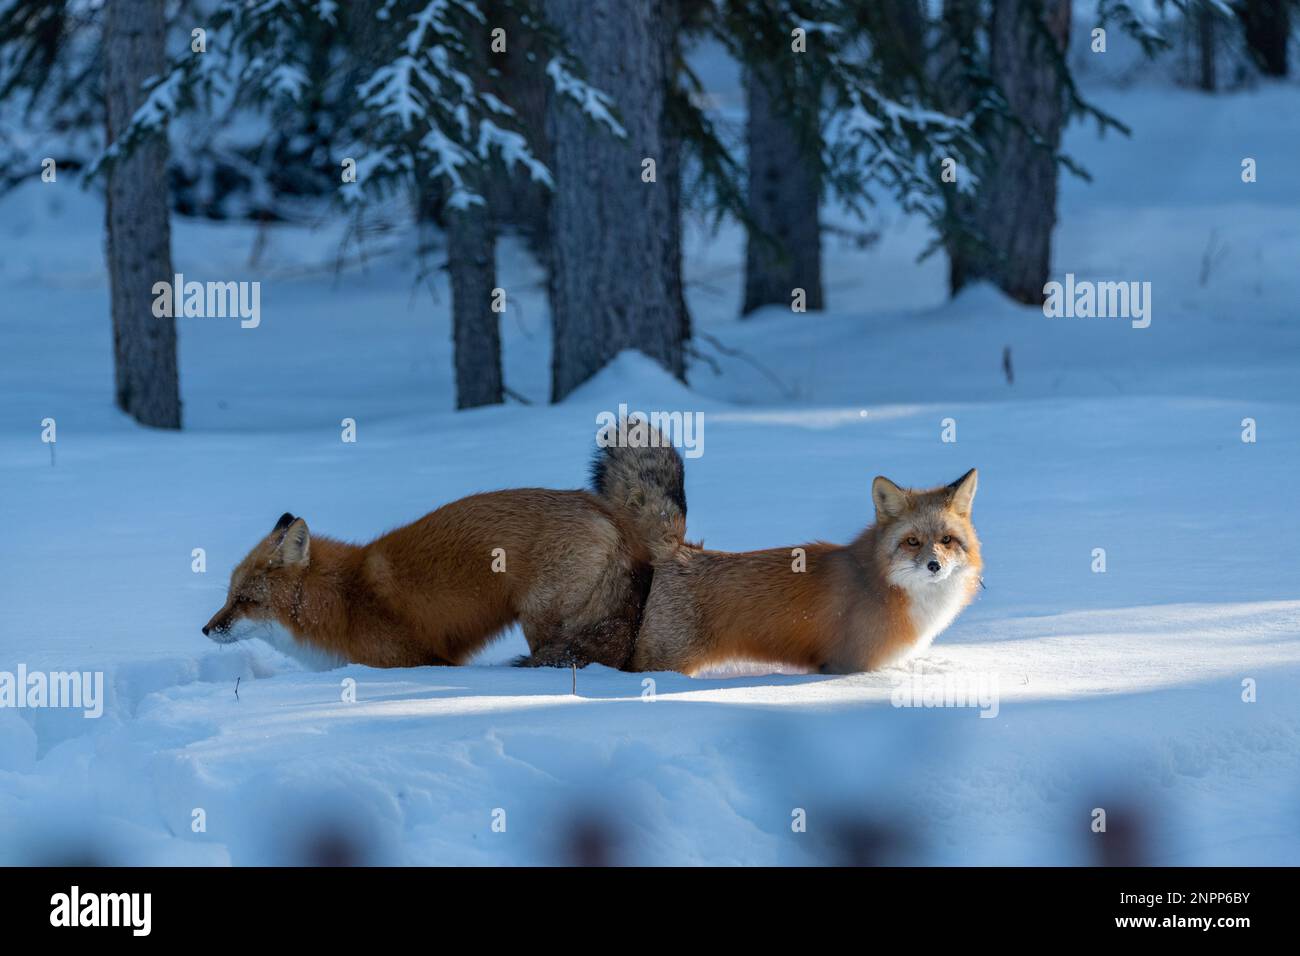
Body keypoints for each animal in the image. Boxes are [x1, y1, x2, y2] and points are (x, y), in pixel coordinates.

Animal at [201, 441, 686, 669]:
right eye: (227, 596)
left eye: (245, 601)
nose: (205, 630)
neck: (344, 602)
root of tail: (606, 511)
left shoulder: (411, 660)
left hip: (542, 620)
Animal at [626, 469, 982, 675]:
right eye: (912, 542)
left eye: (946, 540)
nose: (934, 565)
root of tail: (678, 550)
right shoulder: (842, 665)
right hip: (664, 663)